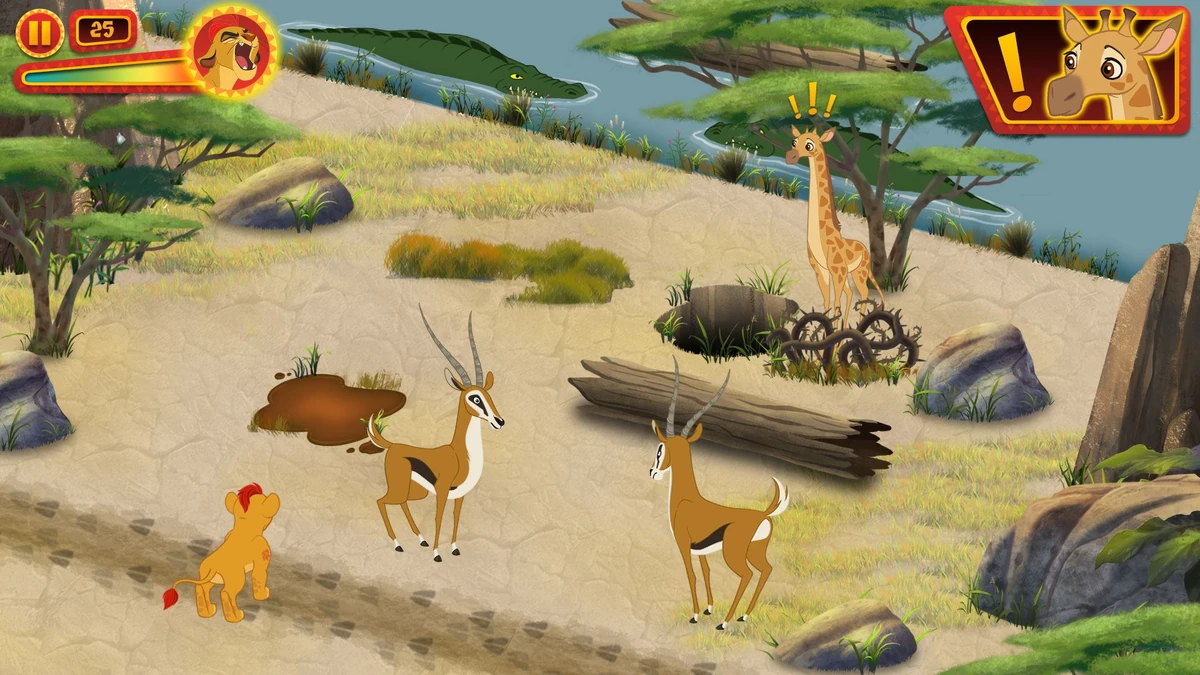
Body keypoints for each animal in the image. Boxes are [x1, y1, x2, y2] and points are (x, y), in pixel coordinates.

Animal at [162, 483, 280, 623]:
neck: (244, 526)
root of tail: (213, 565)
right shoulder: (261, 561)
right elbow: (259, 578)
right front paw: (263, 595)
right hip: (236, 579)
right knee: (226, 593)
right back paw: (236, 616)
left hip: (209, 578)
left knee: (201, 588)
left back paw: (207, 611)